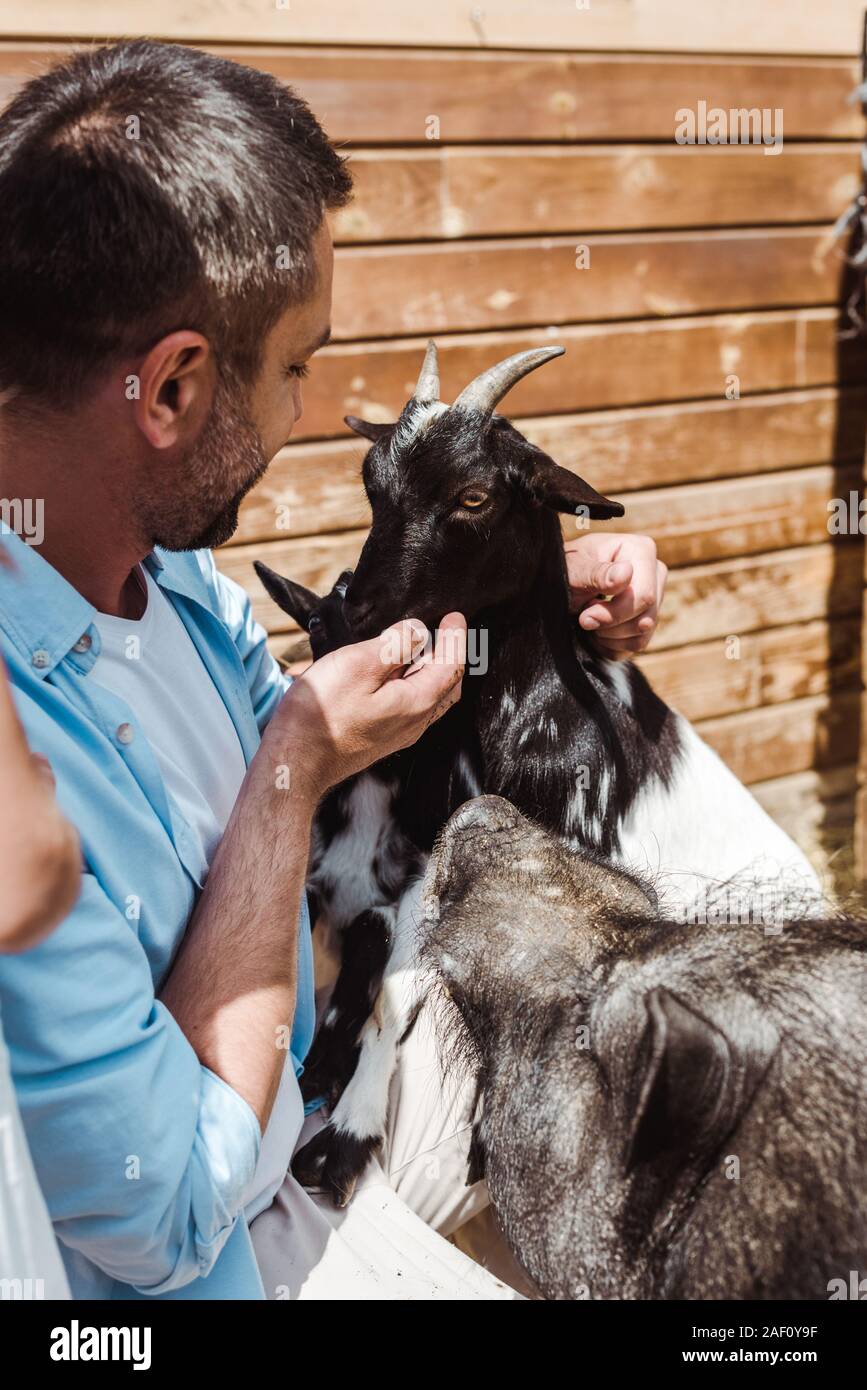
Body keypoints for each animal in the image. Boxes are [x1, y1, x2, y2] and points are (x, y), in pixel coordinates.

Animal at [256, 340, 821, 1205]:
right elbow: (395, 988)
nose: (358, 618)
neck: (528, 720)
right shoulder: (432, 859)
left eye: (475, 496)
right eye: (370, 482)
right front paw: (345, 1135)